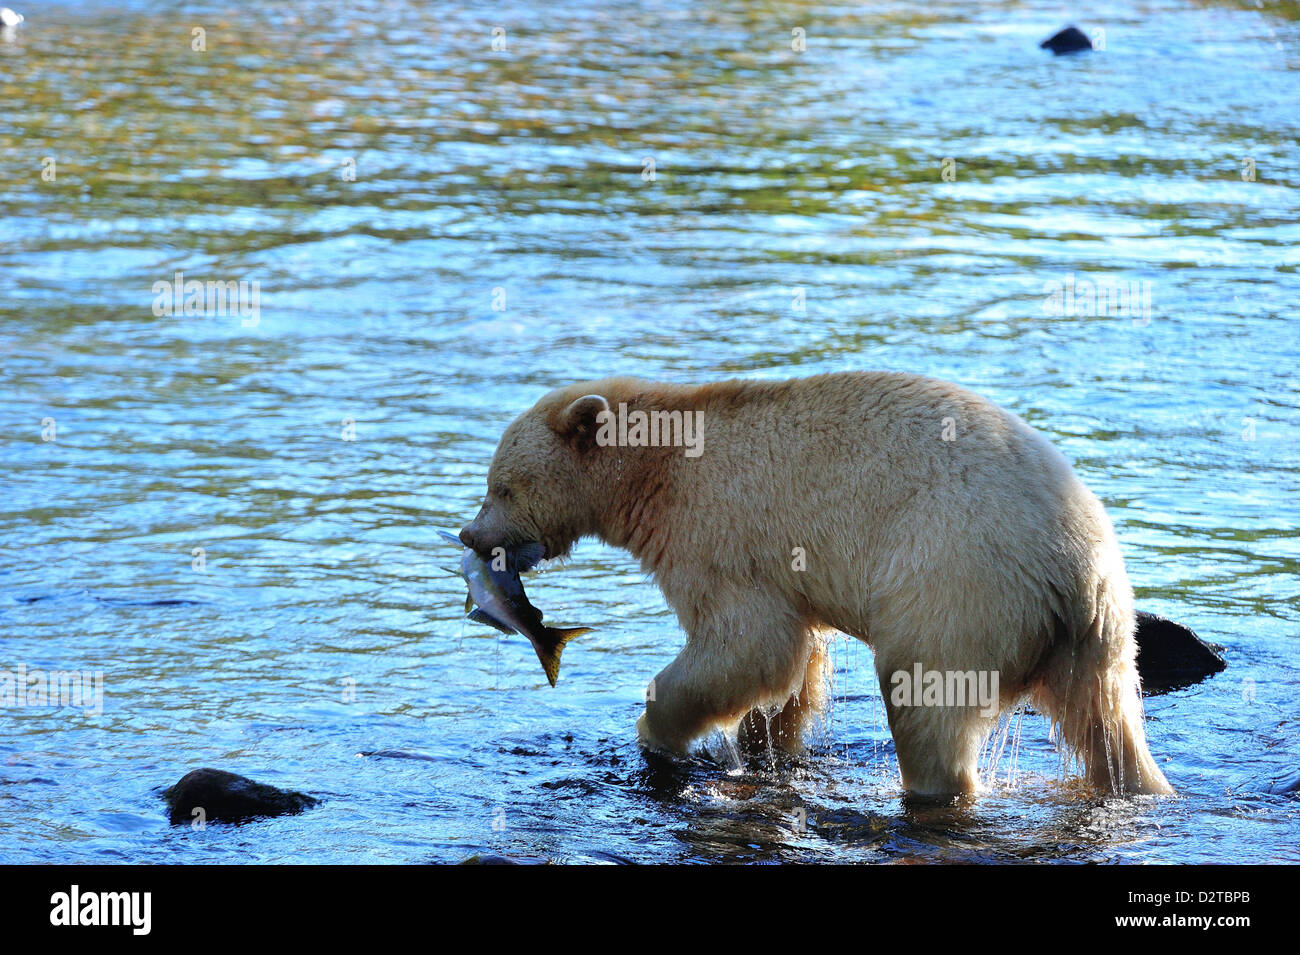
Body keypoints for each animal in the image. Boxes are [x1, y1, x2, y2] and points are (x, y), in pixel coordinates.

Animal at [462, 374, 1175, 800]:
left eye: (501, 486)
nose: (471, 536)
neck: (657, 471)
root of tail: (1075, 570)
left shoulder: (717, 533)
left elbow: (745, 645)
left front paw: (658, 731)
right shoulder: (785, 573)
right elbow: (794, 666)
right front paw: (765, 745)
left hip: (955, 584)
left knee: (924, 704)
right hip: (1101, 638)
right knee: (1109, 729)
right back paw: (1143, 787)